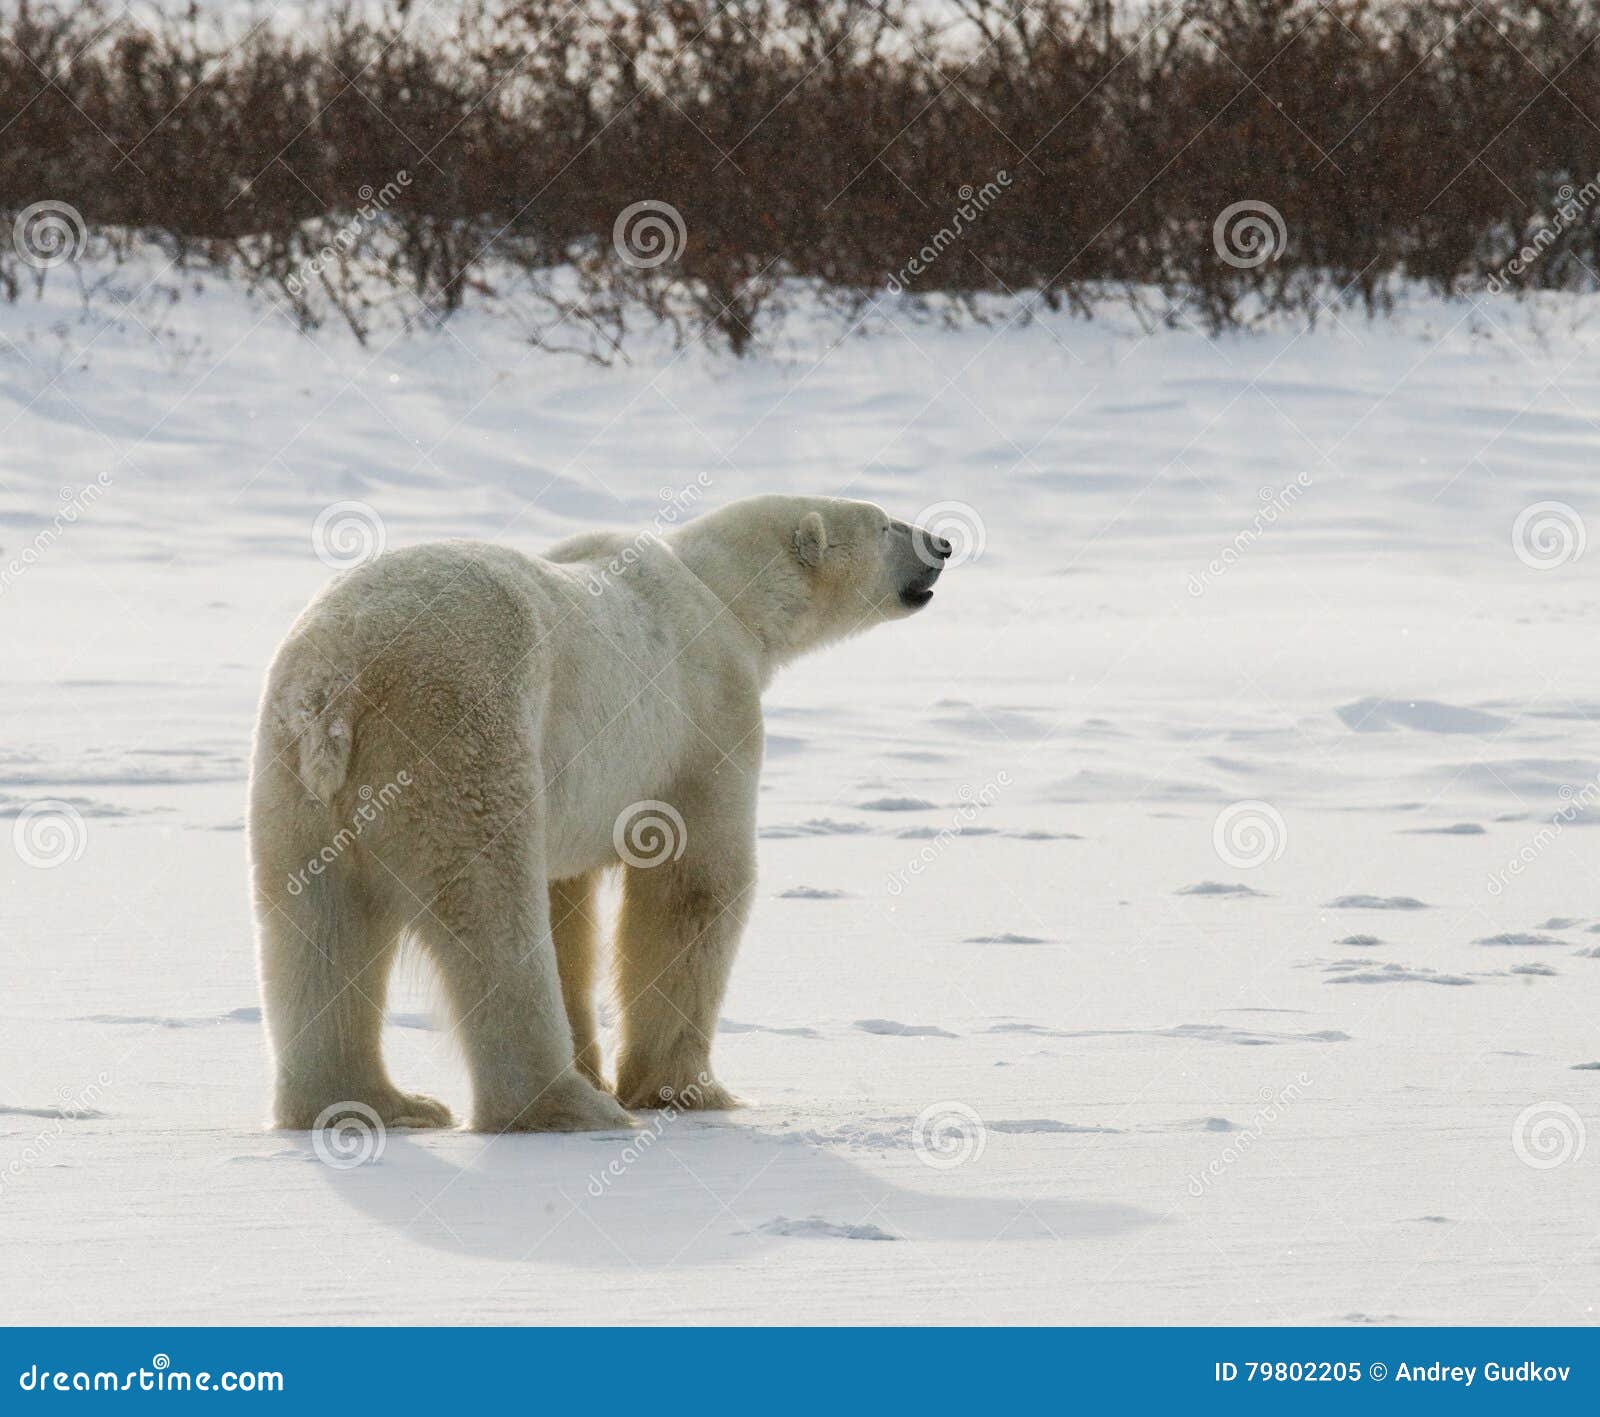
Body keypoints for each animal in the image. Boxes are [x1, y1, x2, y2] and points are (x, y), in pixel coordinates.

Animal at [248, 494, 953, 1132]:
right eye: (885, 522)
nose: (943, 544)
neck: (719, 592)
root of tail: (338, 689)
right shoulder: (708, 716)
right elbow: (694, 885)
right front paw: (687, 1090)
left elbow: (568, 902)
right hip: (456, 734)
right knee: (492, 913)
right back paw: (566, 1107)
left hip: (295, 785)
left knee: (317, 925)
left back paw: (373, 1104)